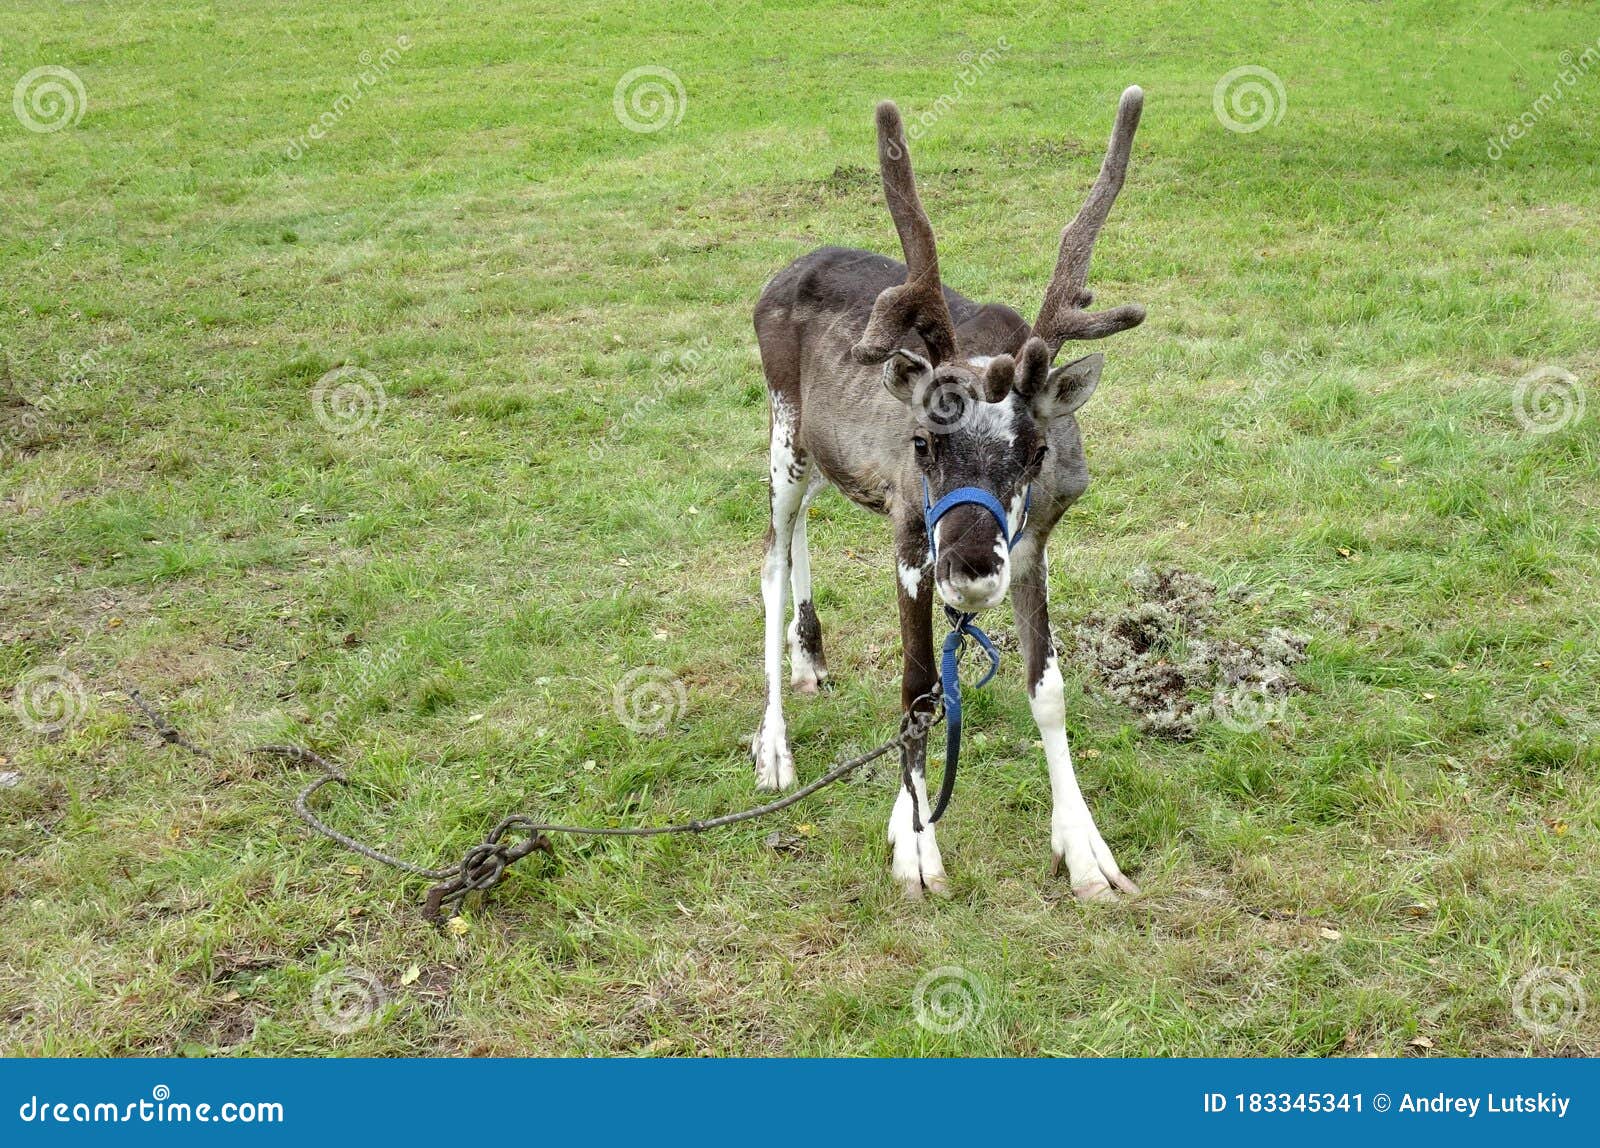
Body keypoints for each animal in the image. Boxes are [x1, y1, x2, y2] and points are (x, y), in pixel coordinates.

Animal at [751, 87, 1148, 901]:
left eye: (1036, 451)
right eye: (924, 443)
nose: (968, 567)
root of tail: (780, 272)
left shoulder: (1032, 543)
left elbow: (1047, 688)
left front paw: (1086, 855)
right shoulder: (910, 533)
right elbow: (918, 688)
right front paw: (915, 846)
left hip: (822, 456)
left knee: (803, 529)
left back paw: (811, 659)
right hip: (783, 434)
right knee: (772, 555)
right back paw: (774, 745)